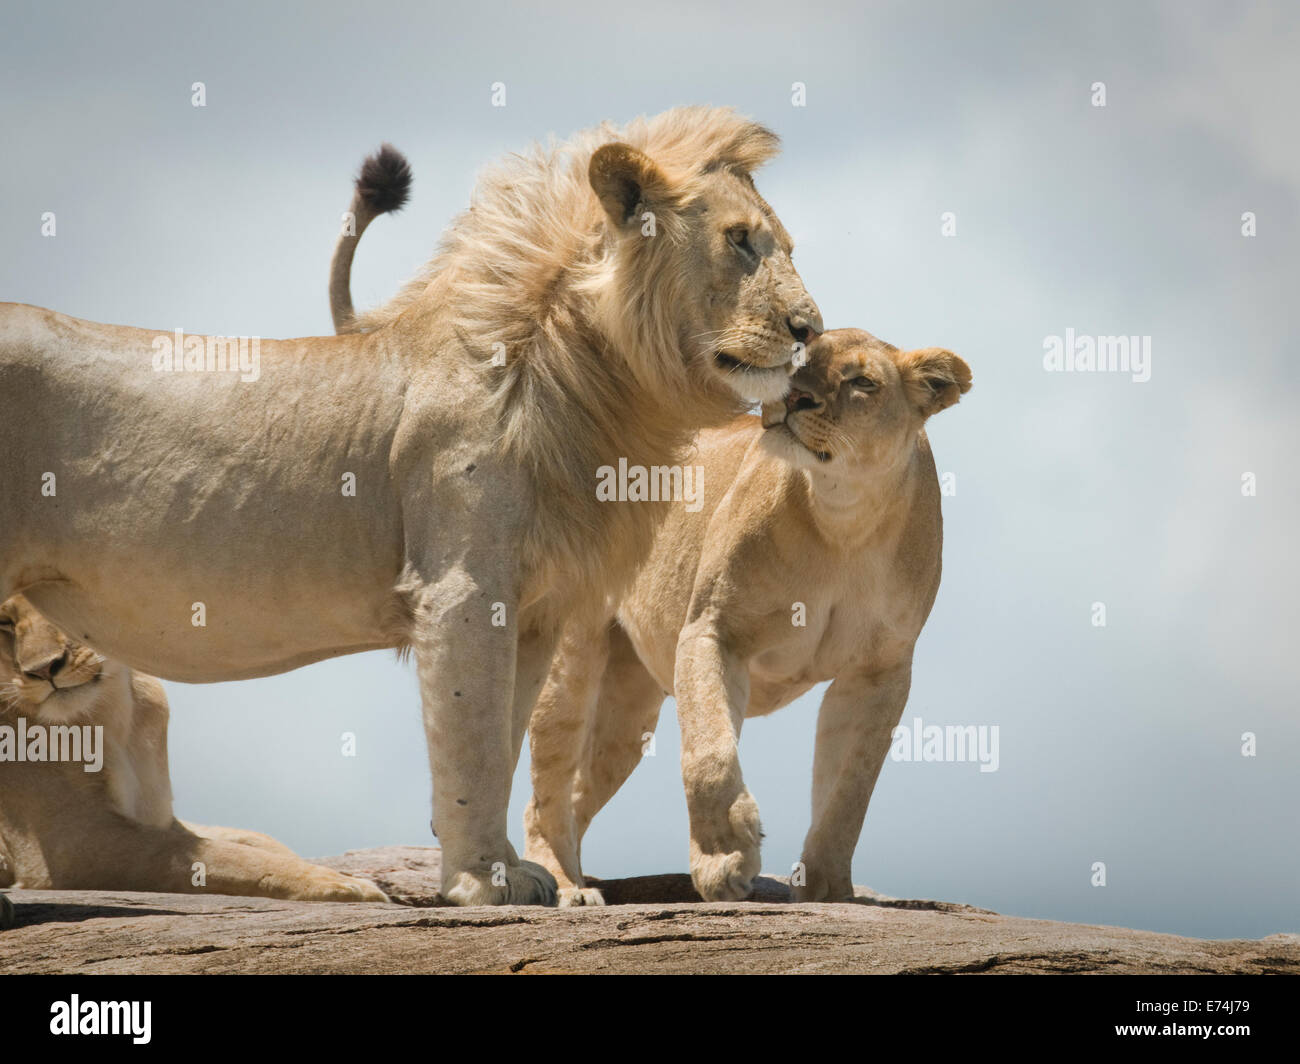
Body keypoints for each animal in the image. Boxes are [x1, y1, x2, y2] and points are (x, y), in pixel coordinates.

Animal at [0, 594, 388, 902]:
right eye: (4, 620)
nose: (43, 669)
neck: (111, 714)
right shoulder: (73, 845)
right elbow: (226, 856)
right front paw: (342, 884)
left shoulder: (160, 816)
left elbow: (248, 840)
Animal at [524, 329, 971, 905]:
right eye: (797, 361)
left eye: (862, 382)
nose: (795, 398)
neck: (843, 517)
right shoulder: (712, 633)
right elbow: (710, 756)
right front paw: (726, 858)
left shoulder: (878, 672)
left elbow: (849, 790)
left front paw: (827, 891)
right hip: (572, 663)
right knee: (546, 791)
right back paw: (565, 885)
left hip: (627, 715)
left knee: (580, 790)